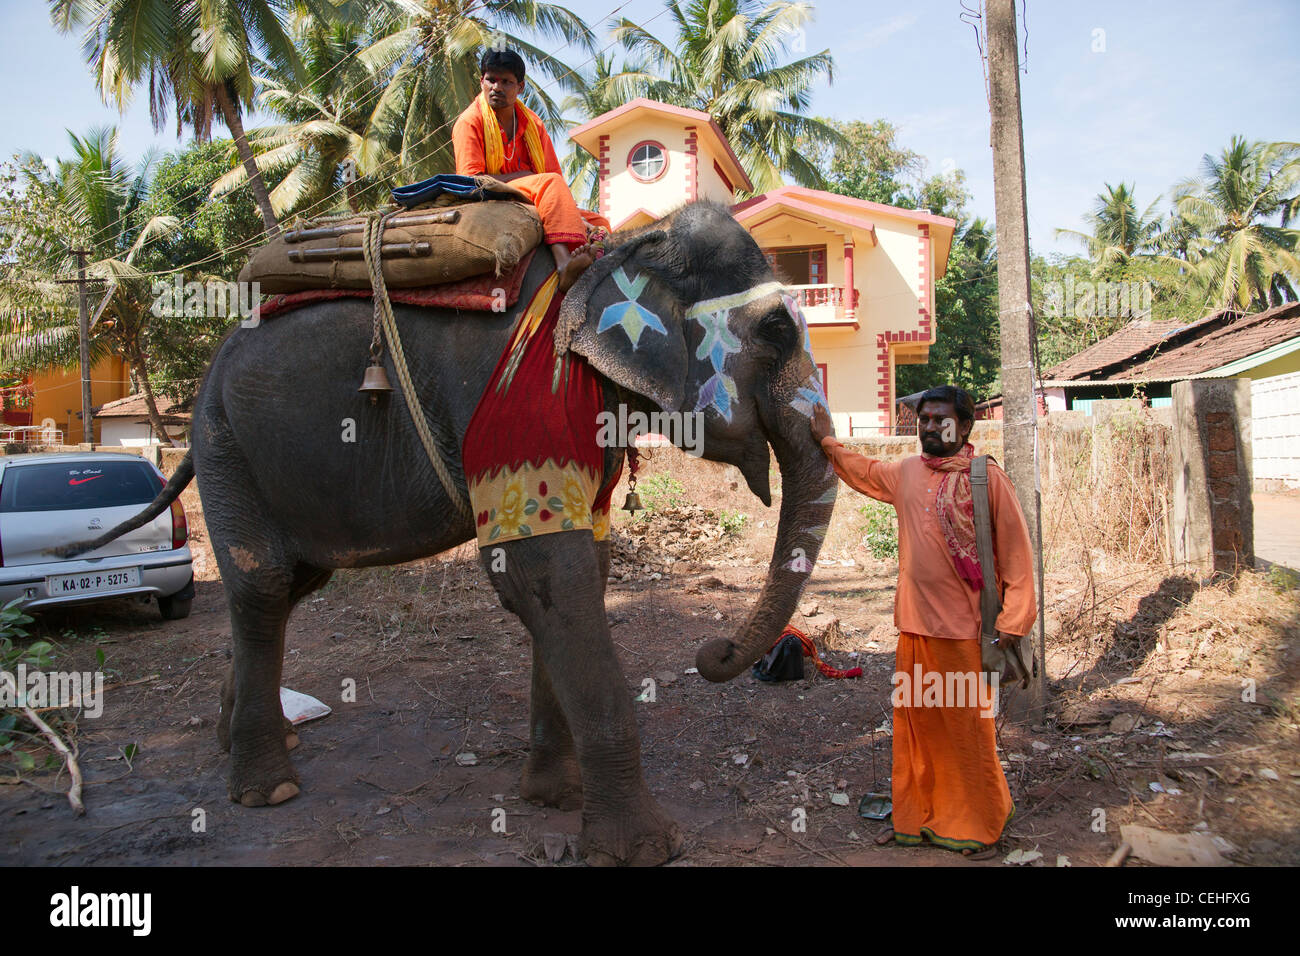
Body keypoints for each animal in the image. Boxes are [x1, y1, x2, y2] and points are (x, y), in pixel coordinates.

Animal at [74, 200, 838, 865]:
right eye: (775, 332)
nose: (714, 653)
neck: (617, 248)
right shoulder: (526, 407)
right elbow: (545, 576)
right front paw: (644, 849)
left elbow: (581, 572)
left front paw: (555, 798)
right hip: (224, 440)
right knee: (263, 582)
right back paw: (269, 789)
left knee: (292, 583)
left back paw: (240, 739)